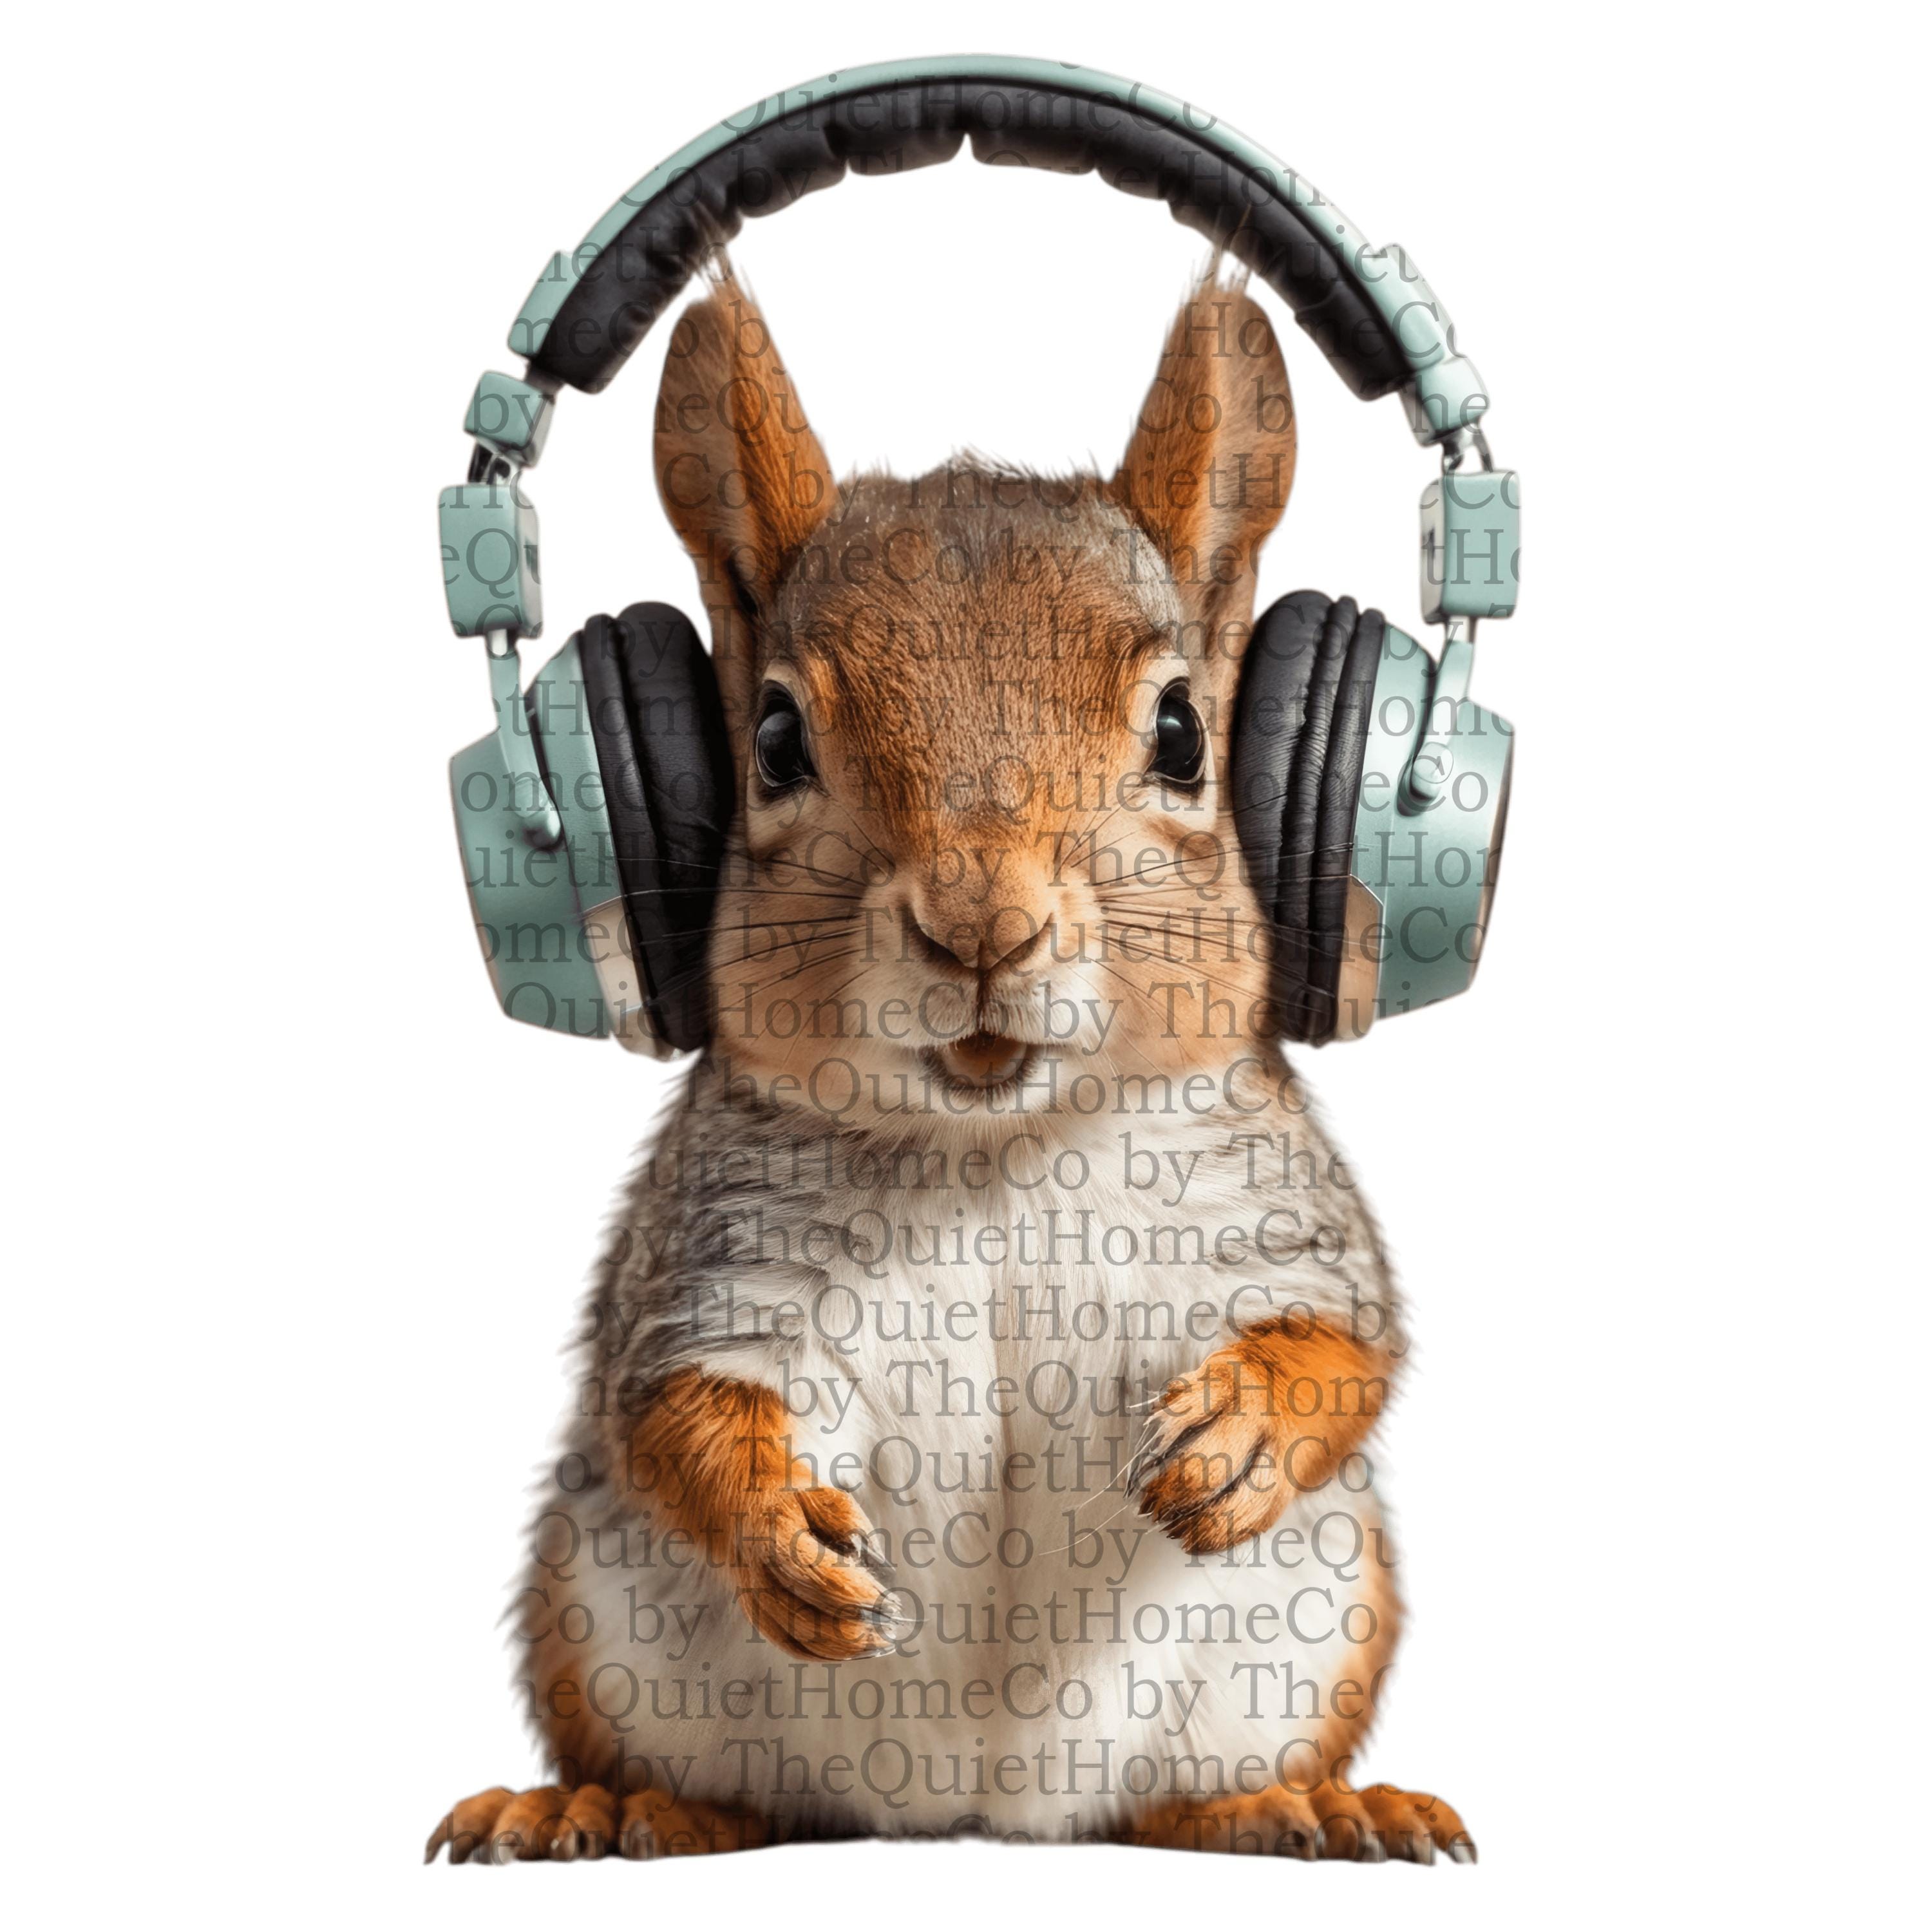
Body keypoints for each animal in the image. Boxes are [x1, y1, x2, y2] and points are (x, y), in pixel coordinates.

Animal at [426, 258, 1473, 1867]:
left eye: (1184, 733)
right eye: (775, 736)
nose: (984, 920)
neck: (997, 1158)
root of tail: (970, 1810)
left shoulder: (1282, 1216)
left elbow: (1350, 1343)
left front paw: (1244, 1425)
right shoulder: (716, 1268)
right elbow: (671, 1412)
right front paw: (773, 1527)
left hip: (1311, 1630)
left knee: (1186, 1794)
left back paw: (1299, 1804)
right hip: (601, 1618)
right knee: (703, 1776)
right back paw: (610, 1805)